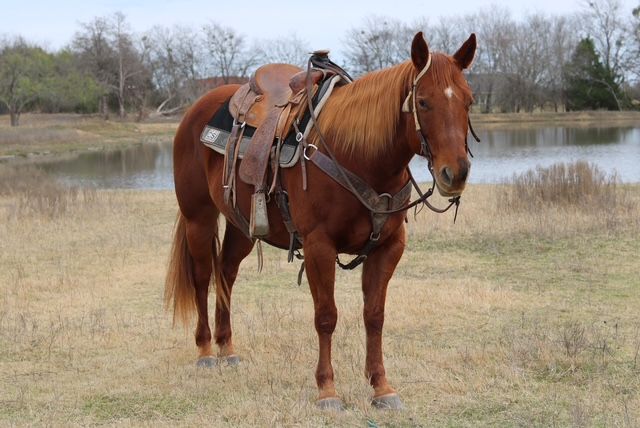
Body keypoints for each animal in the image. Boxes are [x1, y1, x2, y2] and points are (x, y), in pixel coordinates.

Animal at [165, 32, 477, 410]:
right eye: (423, 102)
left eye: (469, 101)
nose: (455, 173)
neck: (358, 156)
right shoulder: (318, 247)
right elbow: (326, 316)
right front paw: (327, 390)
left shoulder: (388, 248)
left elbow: (375, 316)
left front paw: (381, 387)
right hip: (198, 217)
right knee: (202, 277)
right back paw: (206, 351)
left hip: (242, 227)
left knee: (226, 273)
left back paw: (228, 348)